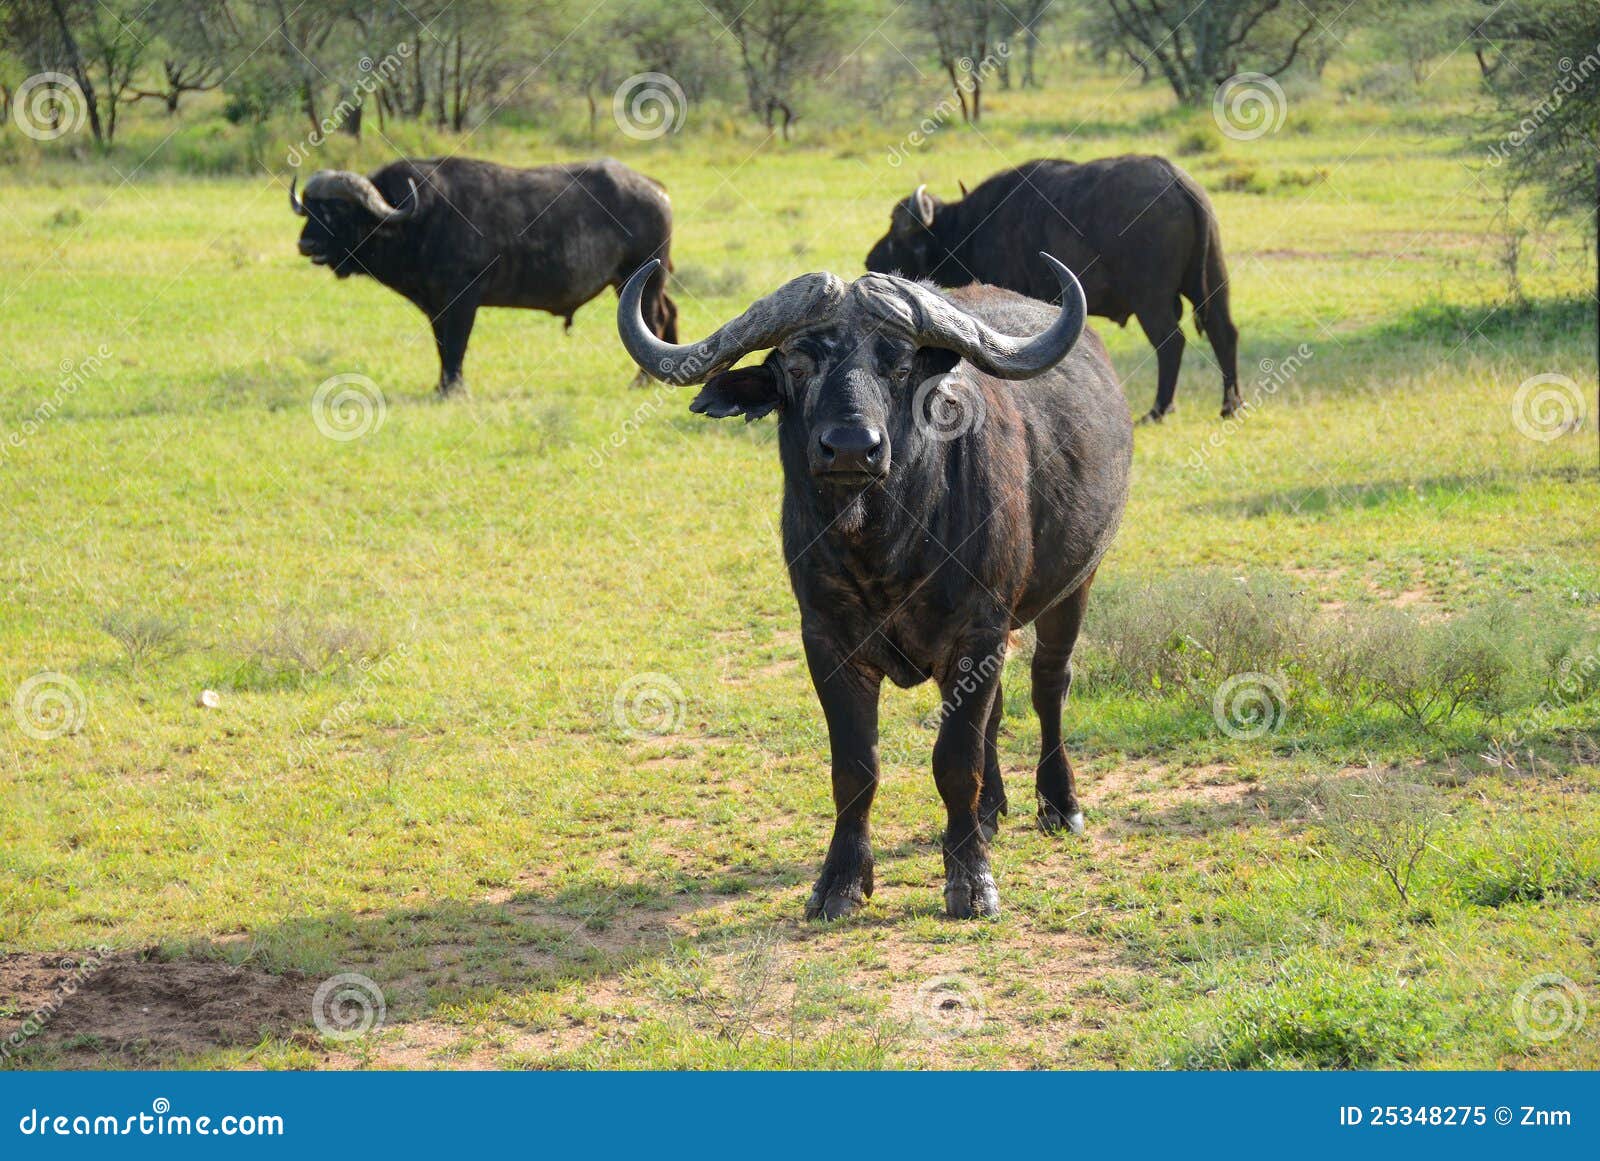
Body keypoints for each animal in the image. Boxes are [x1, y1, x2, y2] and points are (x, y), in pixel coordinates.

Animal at [291, 157, 678, 394]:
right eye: (309, 208)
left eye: (336, 209)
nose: (306, 243)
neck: (419, 218)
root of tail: (653, 187)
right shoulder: (436, 307)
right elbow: (441, 345)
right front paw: (442, 385)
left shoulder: (463, 301)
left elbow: (456, 344)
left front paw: (453, 389)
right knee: (668, 312)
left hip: (640, 279)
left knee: (653, 319)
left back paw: (642, 381)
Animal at [617, 253, 1131, 920]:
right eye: (797, 365)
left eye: (900, 365)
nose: (851, 448)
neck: (885, 547)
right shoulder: (827, 640)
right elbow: (855, 768)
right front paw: (838, 882)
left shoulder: (979, 630)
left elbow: (955, 761)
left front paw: (971, 882)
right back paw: (991, 811)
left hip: (1077, 583)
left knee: (1049, 687)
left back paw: (1059, 805)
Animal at [866, 155, 1239, 422]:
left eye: (897, 233)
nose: (871, 259)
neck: (971, 228)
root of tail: (1178, 182)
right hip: (1213, 280)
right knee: (1223, 332)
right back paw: (1230, 405)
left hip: (1152, 299)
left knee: (1171, 342)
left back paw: (1160, 408)